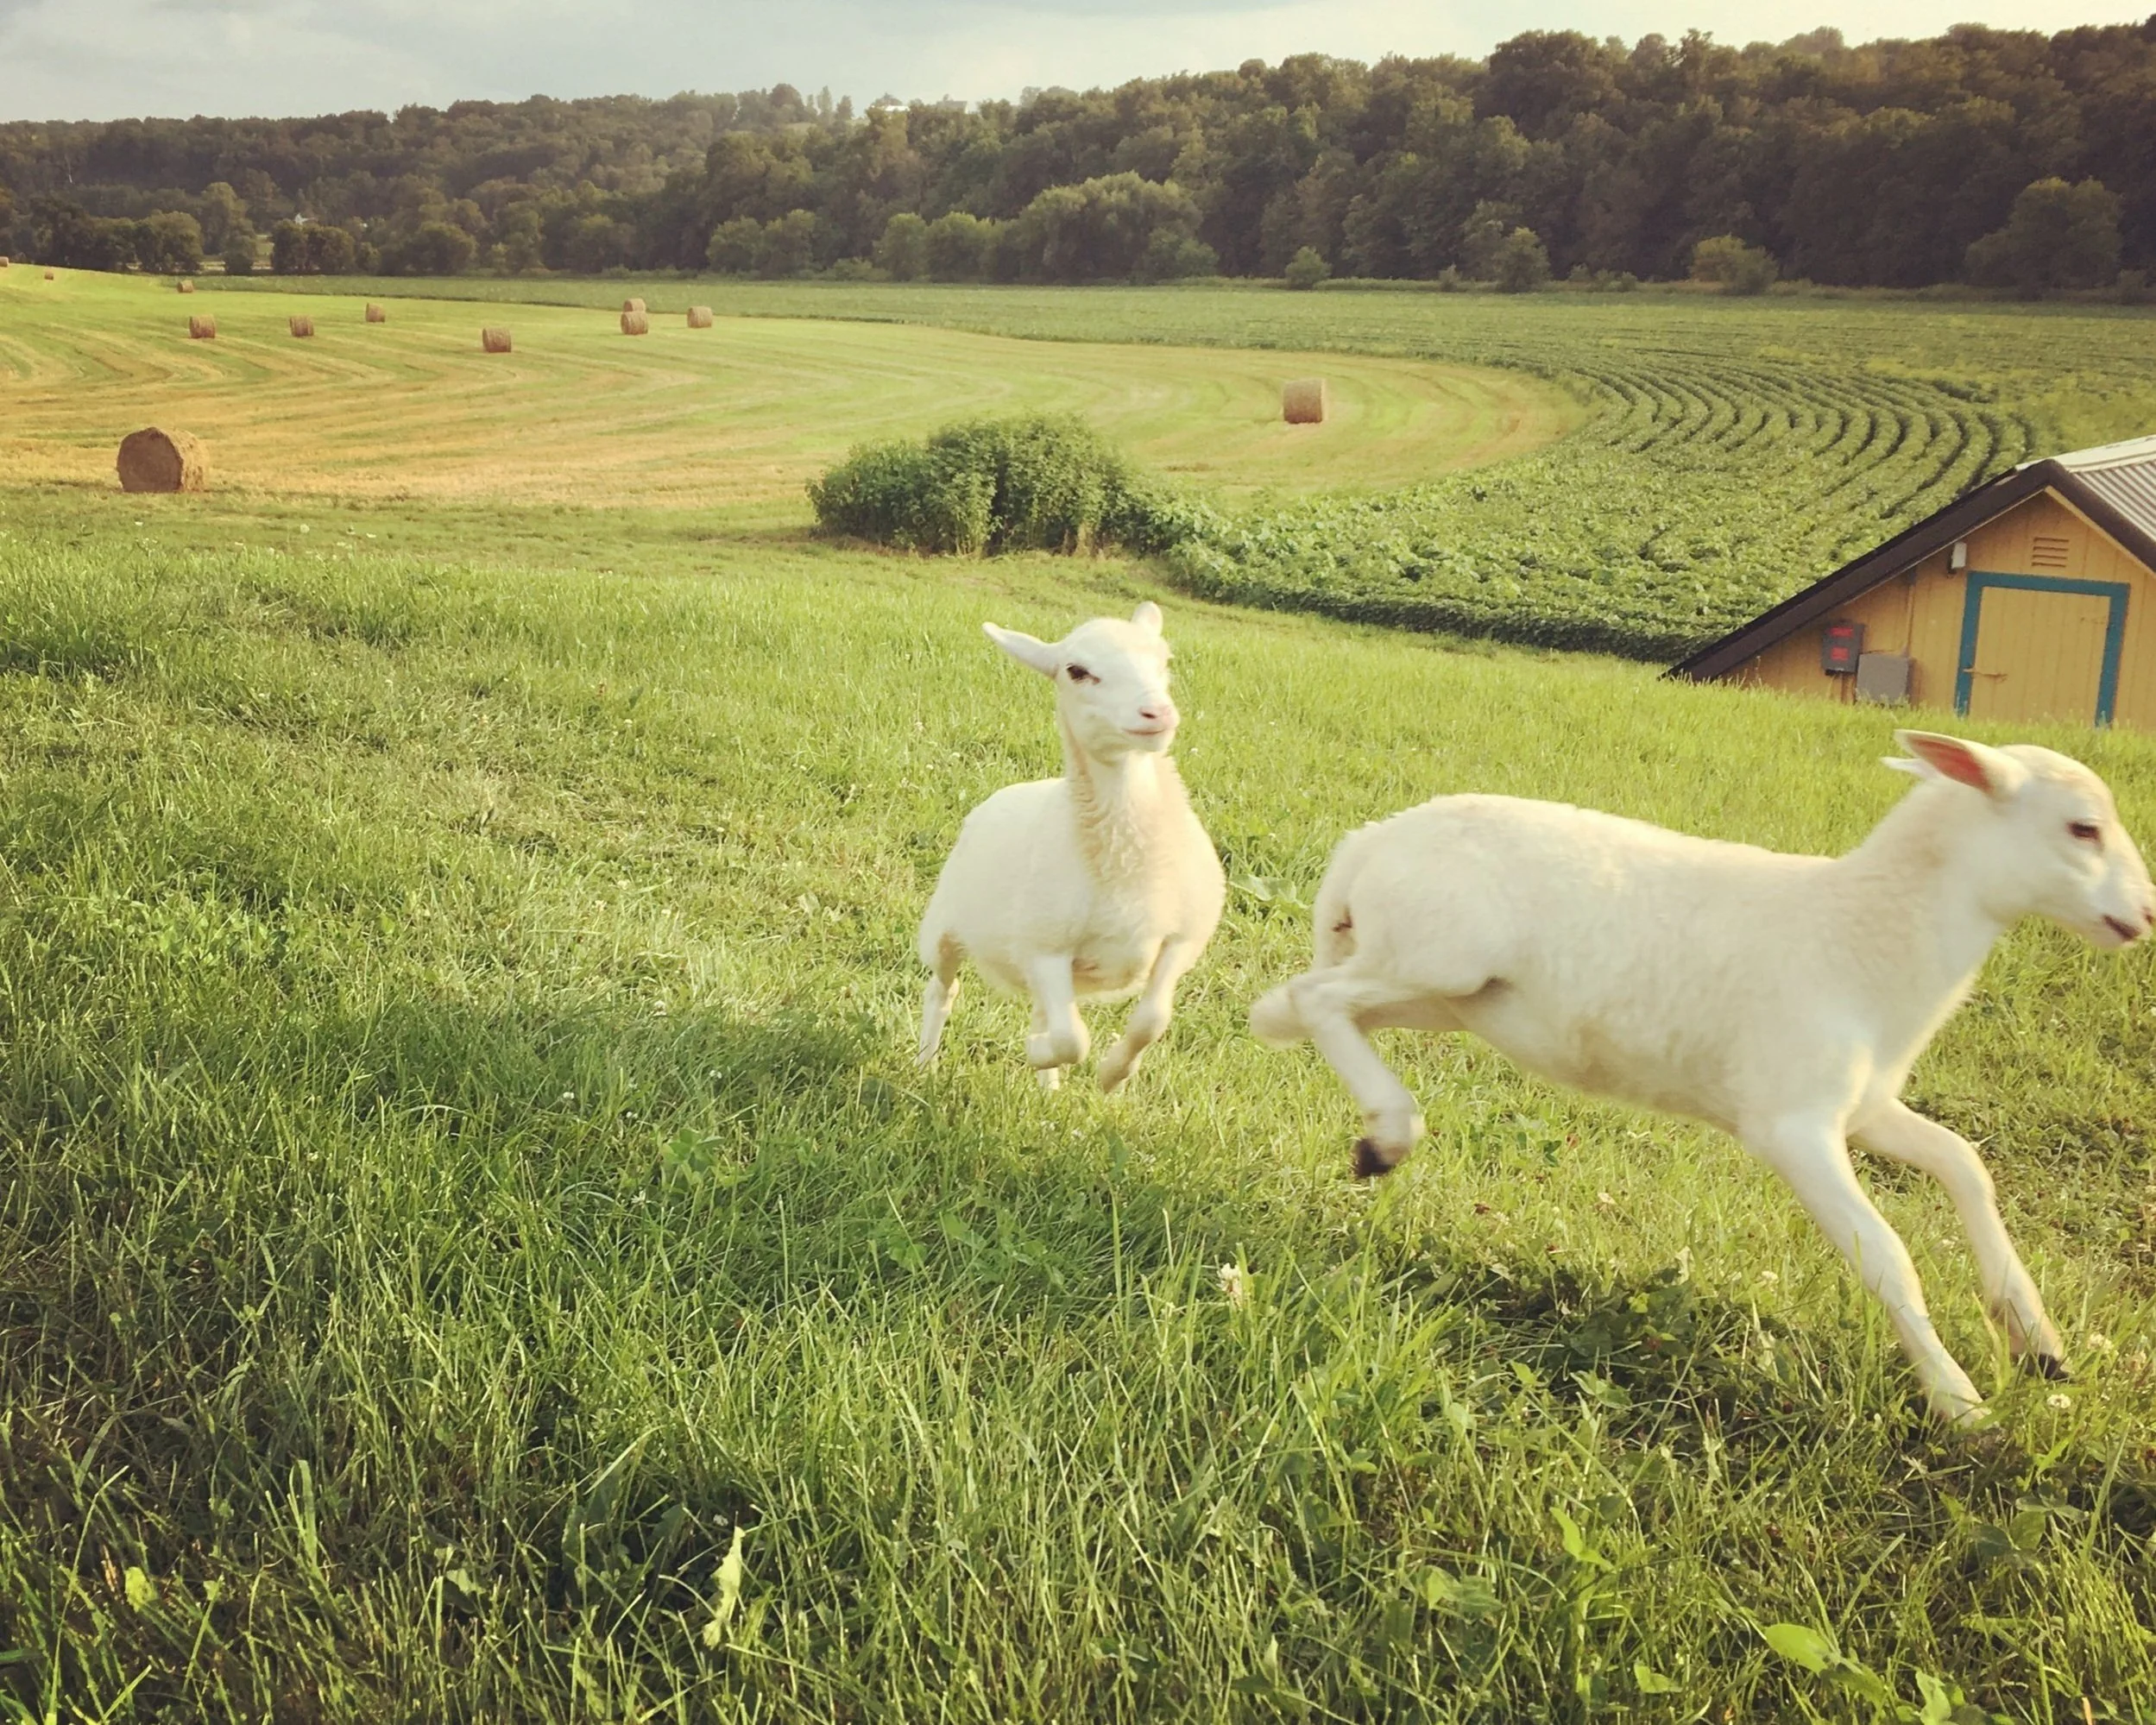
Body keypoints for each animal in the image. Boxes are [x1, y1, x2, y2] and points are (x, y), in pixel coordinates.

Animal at [917, 602, 1226, 1092]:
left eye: (1164, 662)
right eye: (1077, 671)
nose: (1157, 713)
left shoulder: (1181, 937)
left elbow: (1151, 1021)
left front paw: (1113, 1077)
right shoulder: (1044, 949)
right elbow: (1072, 1039)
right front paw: (1038, 1052)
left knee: (1044, 1010)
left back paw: (1048, 1091)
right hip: (947, 928)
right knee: (943, 991)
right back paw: (926, 1063)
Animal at [1250, 730, 2154, 1424]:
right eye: (2082, 828)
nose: (2145, 915)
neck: (1867, 929)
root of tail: (1370, 839)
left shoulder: (1861, 1106)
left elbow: (1965, 1163)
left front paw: (2036, 1339)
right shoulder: (1793, 1124)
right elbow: (1887, 1255)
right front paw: (1960, 1404)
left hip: (1440, 989)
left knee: (1289, 1008)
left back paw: (1371, 1121)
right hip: (1439, 957)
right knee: (1312, 999)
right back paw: (1389, 1134)